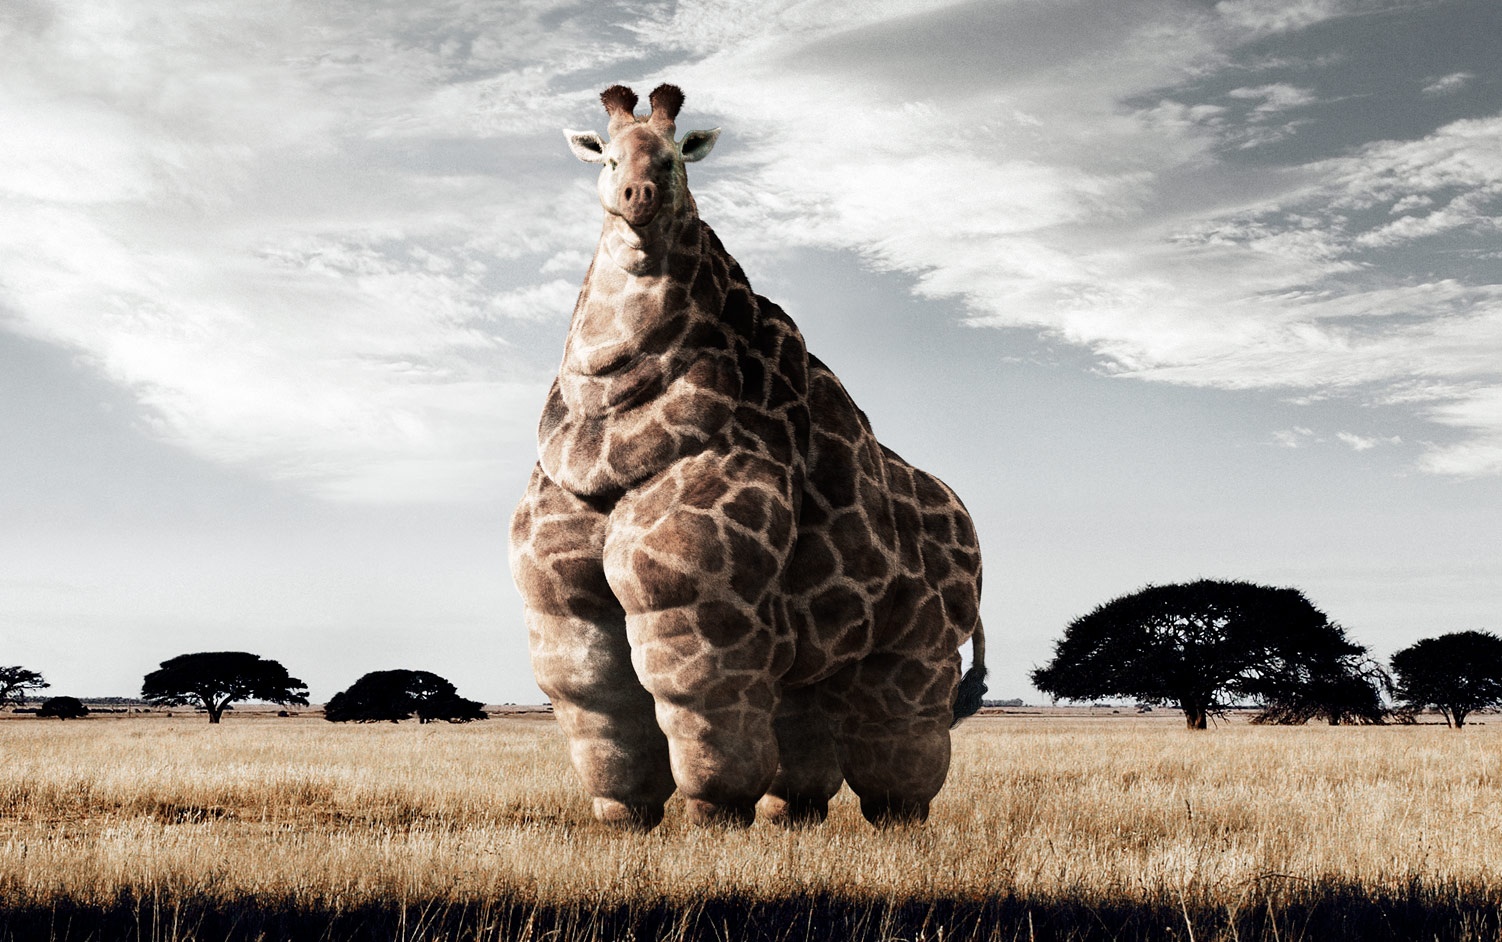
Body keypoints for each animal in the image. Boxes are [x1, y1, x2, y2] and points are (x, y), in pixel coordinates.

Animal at [509, 84, 987, 830]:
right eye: (608, 156)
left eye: (675, 158)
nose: (638, 196)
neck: (607, 426)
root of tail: (969, 524)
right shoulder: (561, 603)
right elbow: (598, 699)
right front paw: (624, 817)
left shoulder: (696, 595)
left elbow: (701, 708)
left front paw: (715, 819)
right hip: (823, 653)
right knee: (806, 738)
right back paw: (792, 816)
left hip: (918, 641)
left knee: (901, 737)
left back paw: (896, 820)